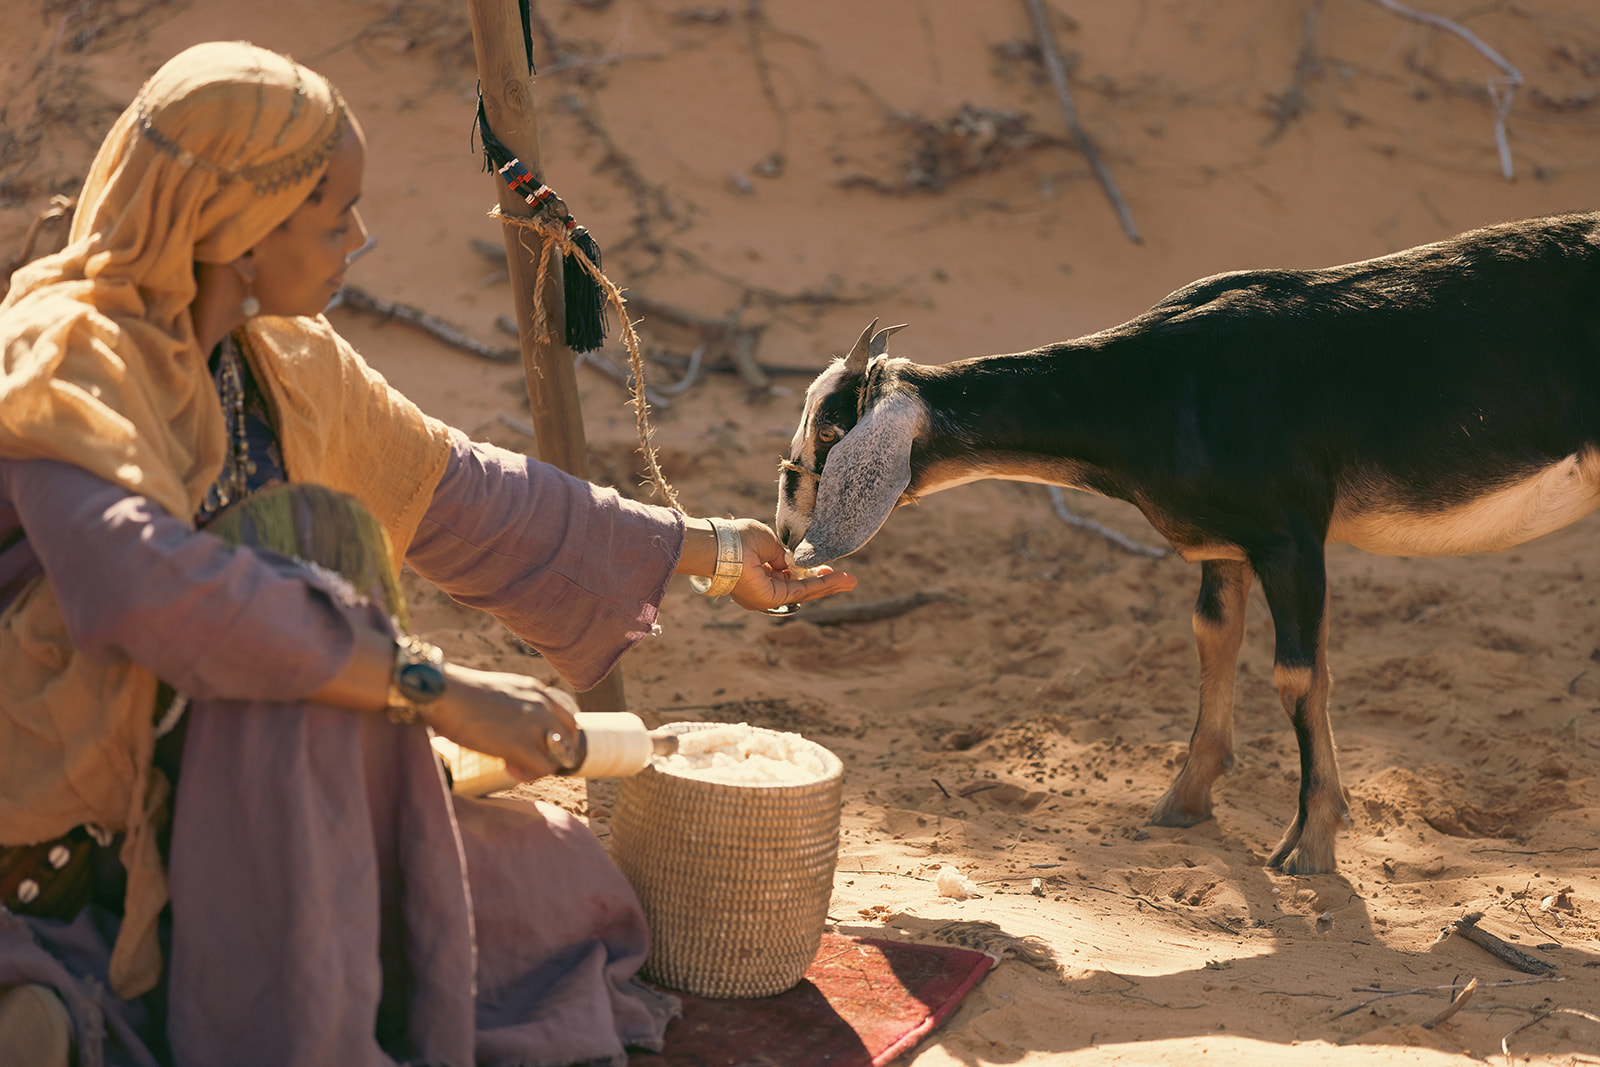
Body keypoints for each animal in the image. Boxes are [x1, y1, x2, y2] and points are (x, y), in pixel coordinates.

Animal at [774, 211, 1600, 875]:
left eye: (829, 435)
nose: (784, 534)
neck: (1161, 384)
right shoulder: (1223, 544)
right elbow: (1212, 635)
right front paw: (1184, 800)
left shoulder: (1292, 536)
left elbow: (1299, 674)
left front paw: (1311, 845)